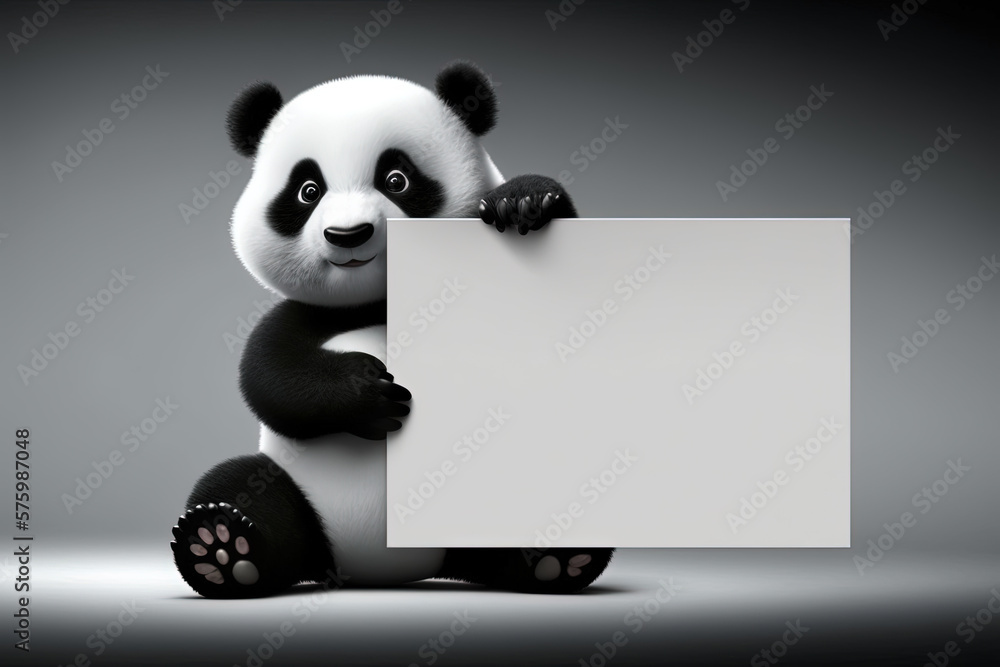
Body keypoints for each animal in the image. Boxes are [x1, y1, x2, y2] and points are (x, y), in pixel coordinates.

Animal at [171, 62, 614, 598]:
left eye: (396, 179)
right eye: (307, 191)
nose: (348, 235)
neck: (383, 298)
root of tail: (370, 570)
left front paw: (523, 202)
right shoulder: (302, 316)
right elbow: (269, 376)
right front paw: (370, 394)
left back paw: (555, 550)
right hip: (296, 499)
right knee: (241, 484)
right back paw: (222, 548)